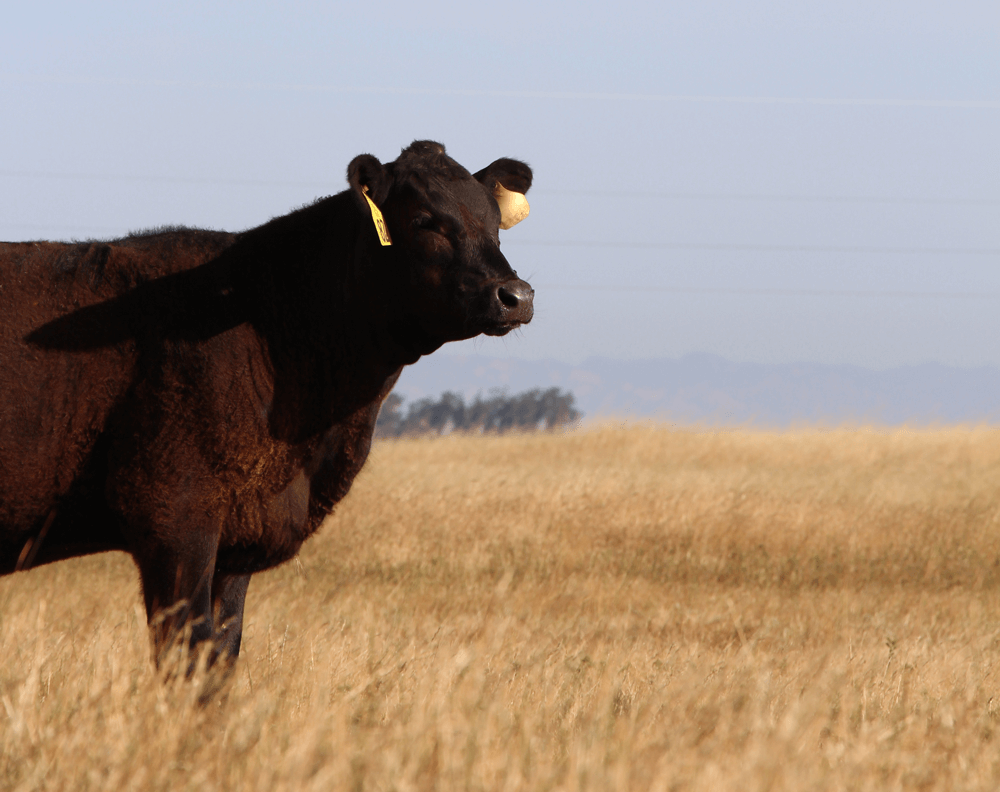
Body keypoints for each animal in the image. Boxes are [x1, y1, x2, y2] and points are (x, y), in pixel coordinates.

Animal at [0, 140, 534, 673]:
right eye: (425, 221)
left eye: (494, 223)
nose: (516, 295)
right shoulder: (174, 519)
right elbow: (186, 659)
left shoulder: (240, 537)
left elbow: (220, 656)